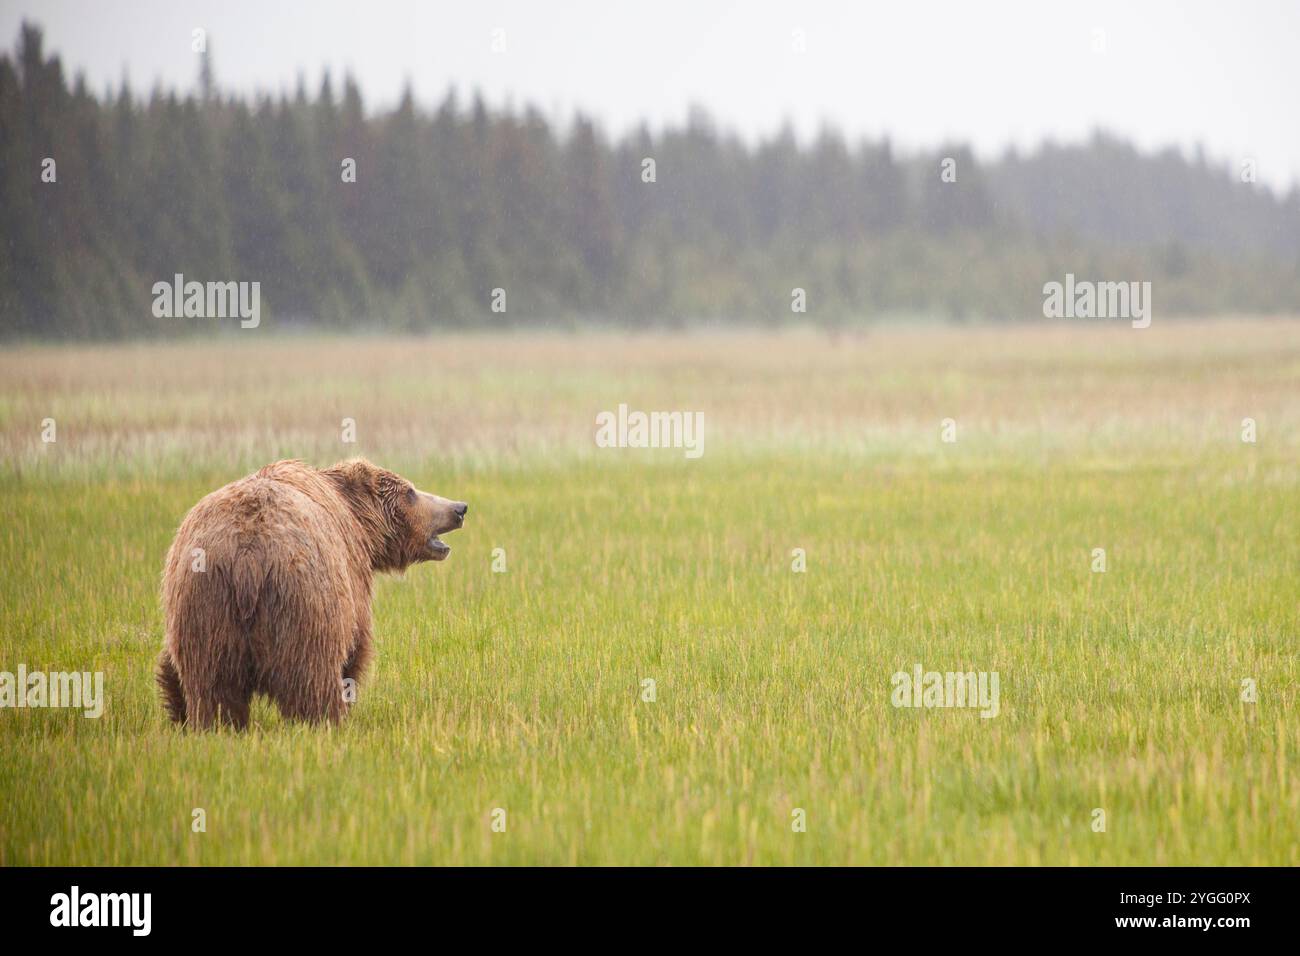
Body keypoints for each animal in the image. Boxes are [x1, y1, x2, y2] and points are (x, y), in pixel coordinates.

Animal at [156, 458, 467, 730]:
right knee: (311, 675)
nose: (459, 508)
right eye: (410, 492)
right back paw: (325, 721)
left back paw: (216, 724)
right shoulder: (352, 575)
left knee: (212, 683)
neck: (357, 518)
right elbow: (357, 645)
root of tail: (248, 557)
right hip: (302, 602)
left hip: (206, 602)